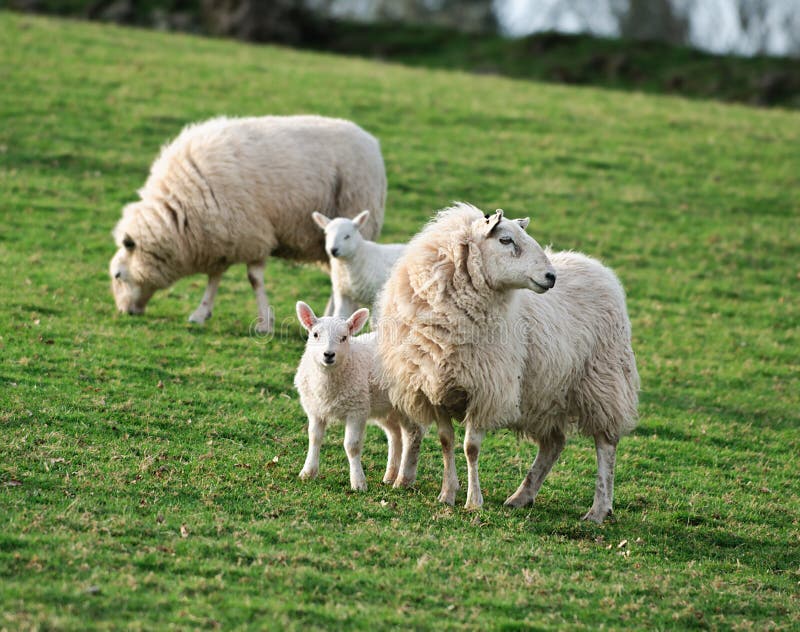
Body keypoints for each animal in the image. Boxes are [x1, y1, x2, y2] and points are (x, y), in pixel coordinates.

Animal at [109, 115, 386, 332]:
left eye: (118, 275)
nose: (125, 312)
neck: (178, 213)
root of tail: (371, 142)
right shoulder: (222, 235)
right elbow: (214, 277)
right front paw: (201, 312)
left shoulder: (252, 234)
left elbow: (254, 279)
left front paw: (264, 323)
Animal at [293, 301, 422, 491]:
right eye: (315, 334)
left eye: (344, 337)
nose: (328, 354)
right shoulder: (316, 410)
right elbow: (314, 439)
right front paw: (308, 472)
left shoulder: (357, 410)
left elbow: (351, 446)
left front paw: (358, 482)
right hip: (387, 408)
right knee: (395, 436)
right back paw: (390, 476)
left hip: (409, 402)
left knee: (412, 435)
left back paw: (404, 480)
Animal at [376, 202, 639, 523]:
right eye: (505, 240)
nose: (551, 276)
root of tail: (597, 266)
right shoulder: (435, 389)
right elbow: (446, 441)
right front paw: (447, 494)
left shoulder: (485, 390)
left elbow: (470, 448)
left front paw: (473, 501)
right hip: (545, 394)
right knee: (553, 444)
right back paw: (521, 496)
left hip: (603, 380)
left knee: (606, 445)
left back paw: (599, 509)